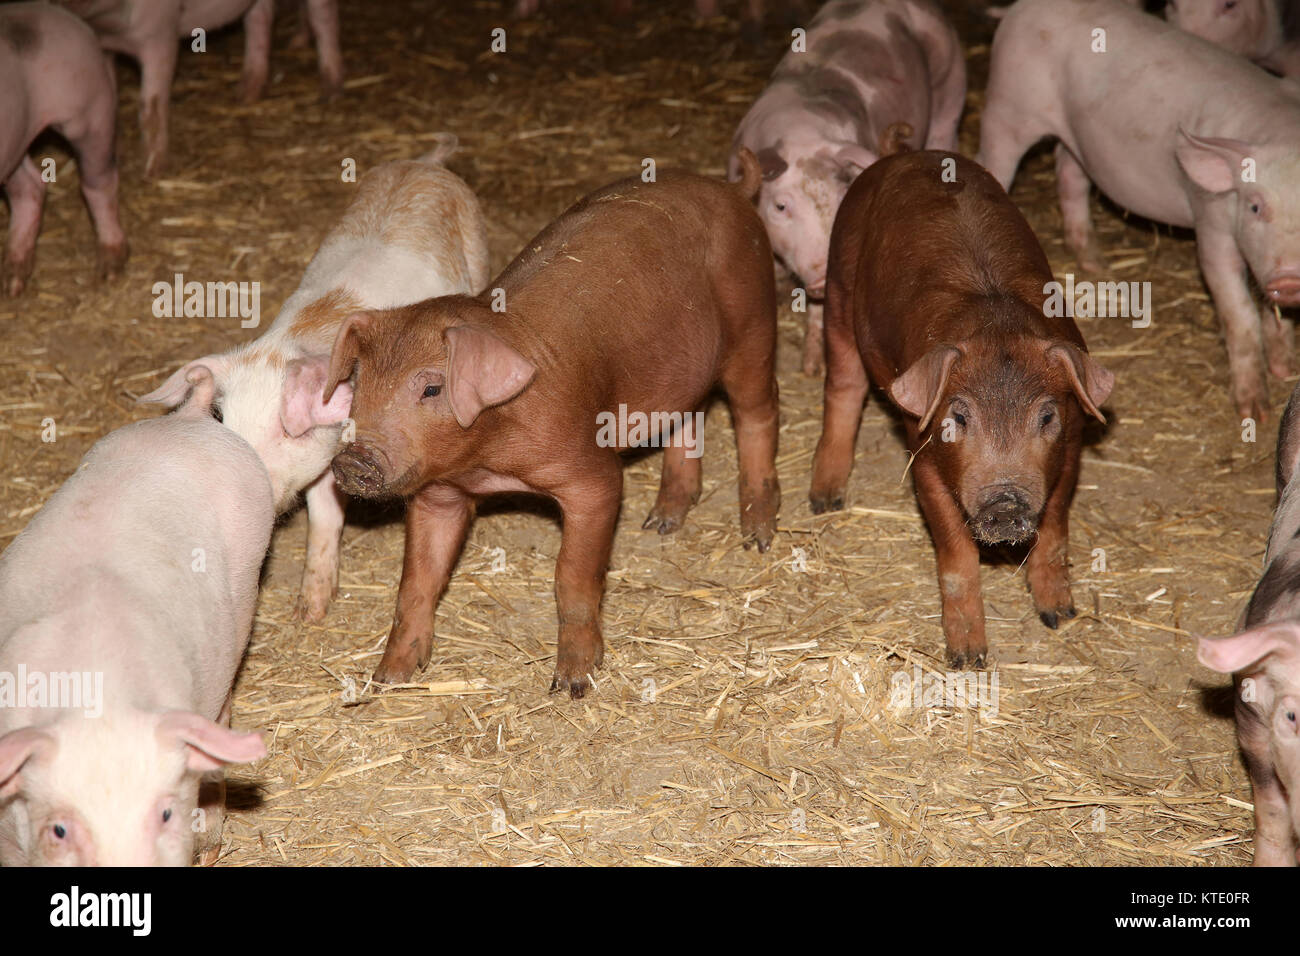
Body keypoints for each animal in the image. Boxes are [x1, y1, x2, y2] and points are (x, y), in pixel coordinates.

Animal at [0, 2, 128, 297]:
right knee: (30, 188)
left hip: (90, 110)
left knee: (100, 182)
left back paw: (110, 271)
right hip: (16, 137)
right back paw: (12, 284)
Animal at [57, 0, 344, 179]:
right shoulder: (102, 44)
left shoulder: (161, 34)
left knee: (323, 15)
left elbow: (150, 106)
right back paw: (245, 95)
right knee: (259, 18)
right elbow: (112, 100)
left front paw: (152, 171)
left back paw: (330, 90)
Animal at [324, 151, 781, 698]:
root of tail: (734, 189)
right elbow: (417, 582)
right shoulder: (439, 492)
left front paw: (572, 684)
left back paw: (757, 534)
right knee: (687, 418)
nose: (352, 458)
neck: (489, 459)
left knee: (758, 414)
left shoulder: (593, 476)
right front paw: (387, 679)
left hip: (754, 320)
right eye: (358, 380)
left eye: (432, 389)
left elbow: (573, 577)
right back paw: (661, 523)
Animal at [728, 0, 966, 375]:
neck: (801, 135)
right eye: (781, 206)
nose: (822, 275)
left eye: (842, 200)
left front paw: (812, 369)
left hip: (951, 82)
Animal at [809, 149, 1114, 667]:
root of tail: (906, 154)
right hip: (838, 282)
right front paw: (968, 659)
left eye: (1047, 417)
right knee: (844, 385)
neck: (996, 322)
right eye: (957, 418)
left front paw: (1059, 615)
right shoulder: (924, 453)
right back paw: (824, 500)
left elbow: (1054, 529)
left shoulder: (1071, 448)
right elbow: (955, 557)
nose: (1005, 500)